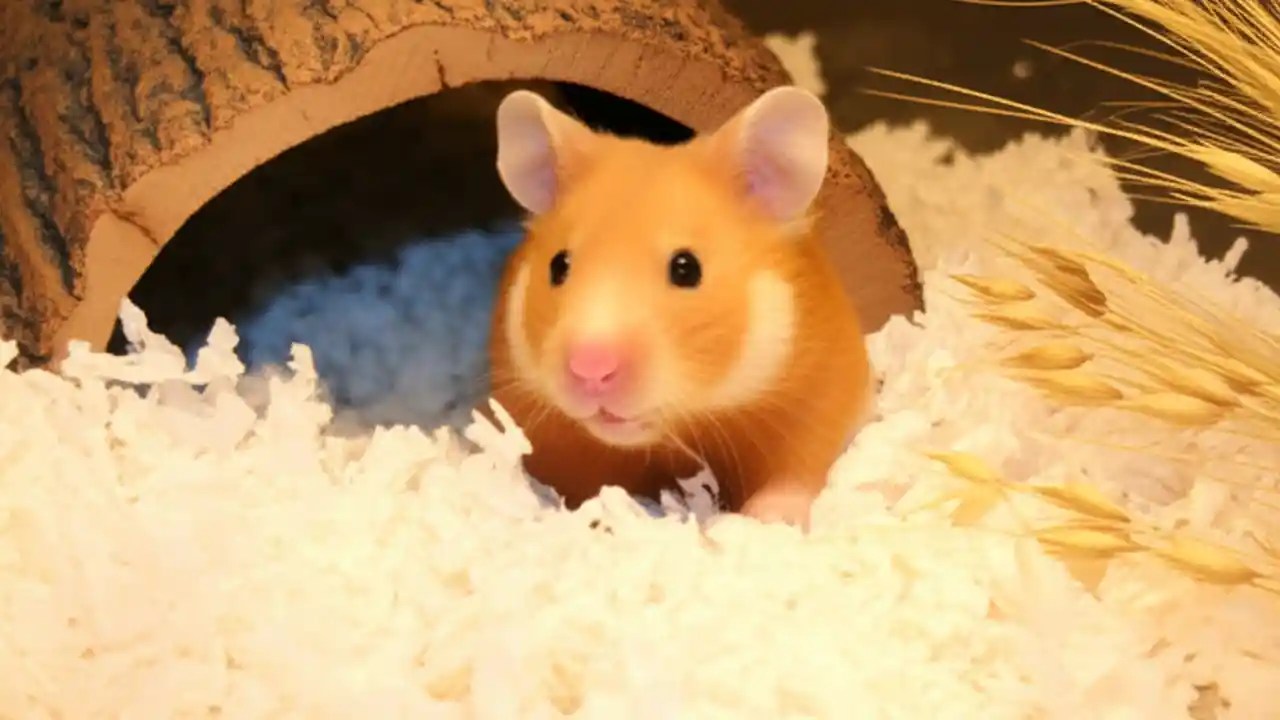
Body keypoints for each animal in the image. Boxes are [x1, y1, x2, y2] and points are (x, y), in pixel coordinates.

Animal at [484, 85, 871, 529]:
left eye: (686, 268)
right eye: (558, 266)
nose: (590, 369)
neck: (681, 425)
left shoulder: (814, 400)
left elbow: (792, 475)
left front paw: (765, 522)